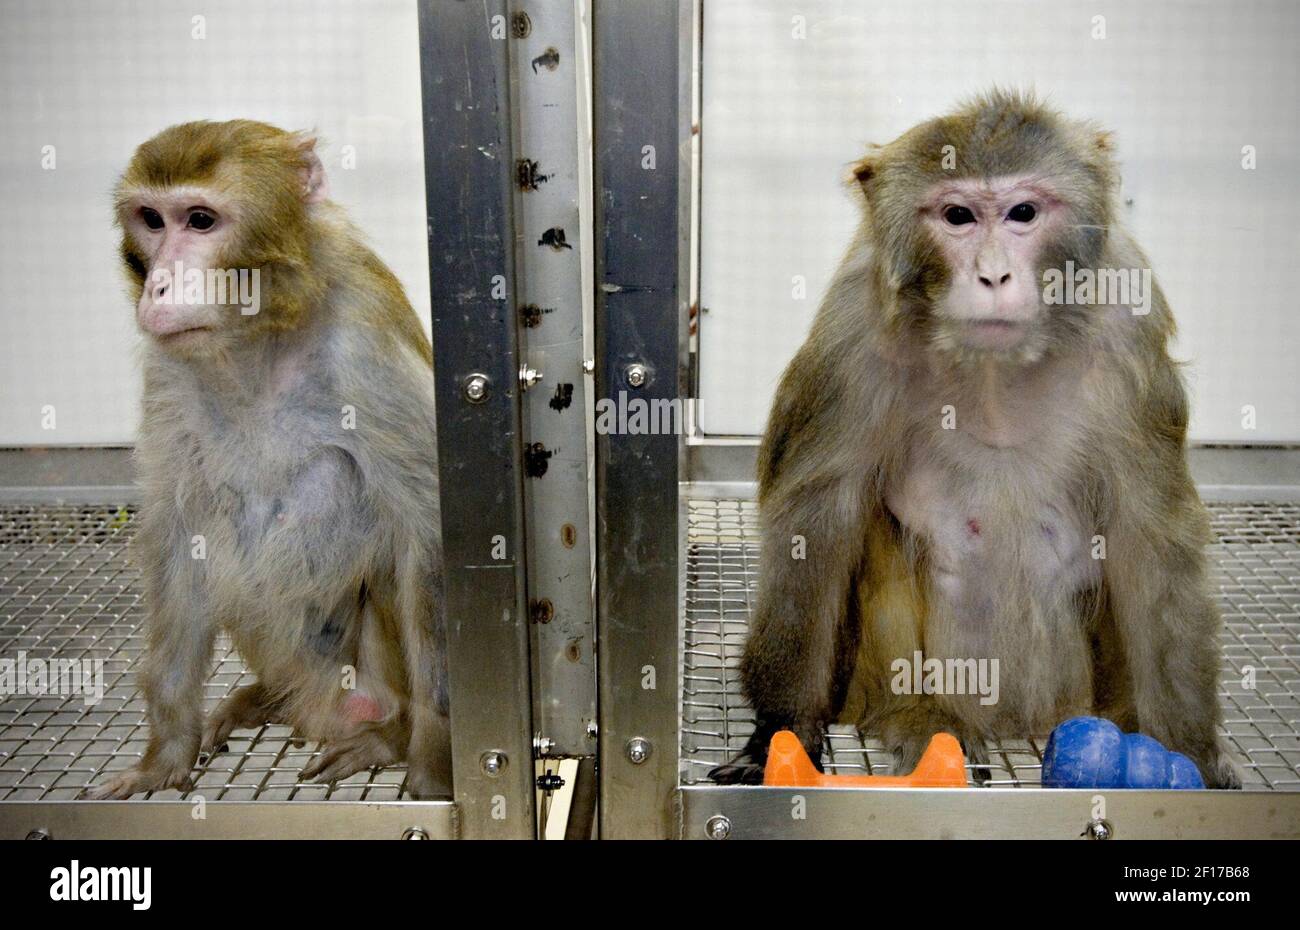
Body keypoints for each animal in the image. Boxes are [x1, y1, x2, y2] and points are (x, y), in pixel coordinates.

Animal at [82, 120, 450, 799]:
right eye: (152, 220)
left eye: (200, 220)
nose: (160, 284)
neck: (256, 338)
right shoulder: (170, 366)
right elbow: (179, 530)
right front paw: (165, 751)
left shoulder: (364, 335)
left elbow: (430, 528)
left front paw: (434, 765)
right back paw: (262, 700)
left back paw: (389, 734)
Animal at [711, 90, 1241, 789]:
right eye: (958, 216)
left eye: (1023, 213)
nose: (992, 276)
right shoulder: (853, 333)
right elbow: (817, 520)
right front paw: (779, 730)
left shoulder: (1130, 326)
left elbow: (1152, 538)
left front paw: (1191, 752)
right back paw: (923, 717)